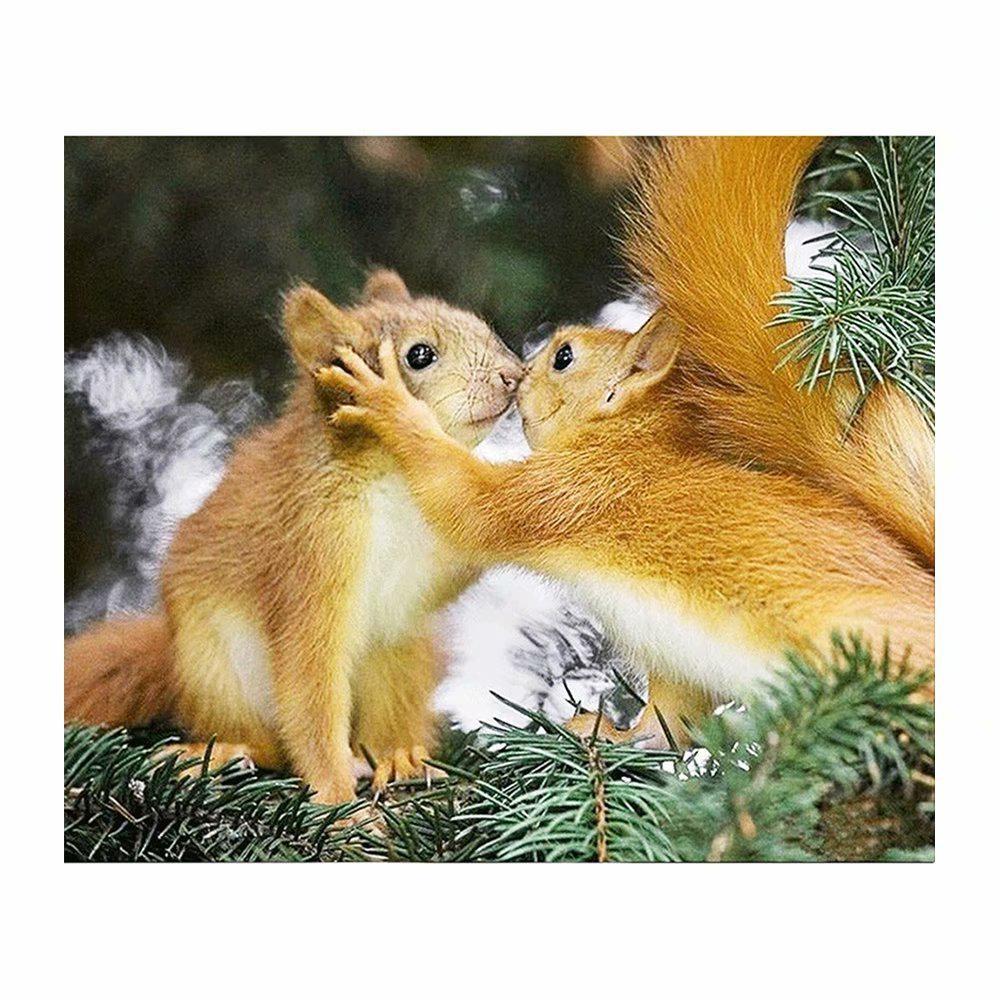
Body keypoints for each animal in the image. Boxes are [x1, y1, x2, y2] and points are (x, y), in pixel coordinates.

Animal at [65, 270, 524, 803]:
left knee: (389, 716)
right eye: (420, 355)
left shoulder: (436, 545)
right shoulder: (312, 550)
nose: (514, 376)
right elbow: (311, 690)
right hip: (216, 666)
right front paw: (340, 803)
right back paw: (225, 754)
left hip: (401, 649)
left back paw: (399, 757)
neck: (394, 479)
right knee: (269, 743)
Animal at [316, 137, 934, 744]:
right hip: (680, 657)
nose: (517, 373)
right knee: (671, 722)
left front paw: (389, 402)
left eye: (564, 357)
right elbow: (670, 722)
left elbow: (468, 503)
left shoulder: (570, 491)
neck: (622, 443)